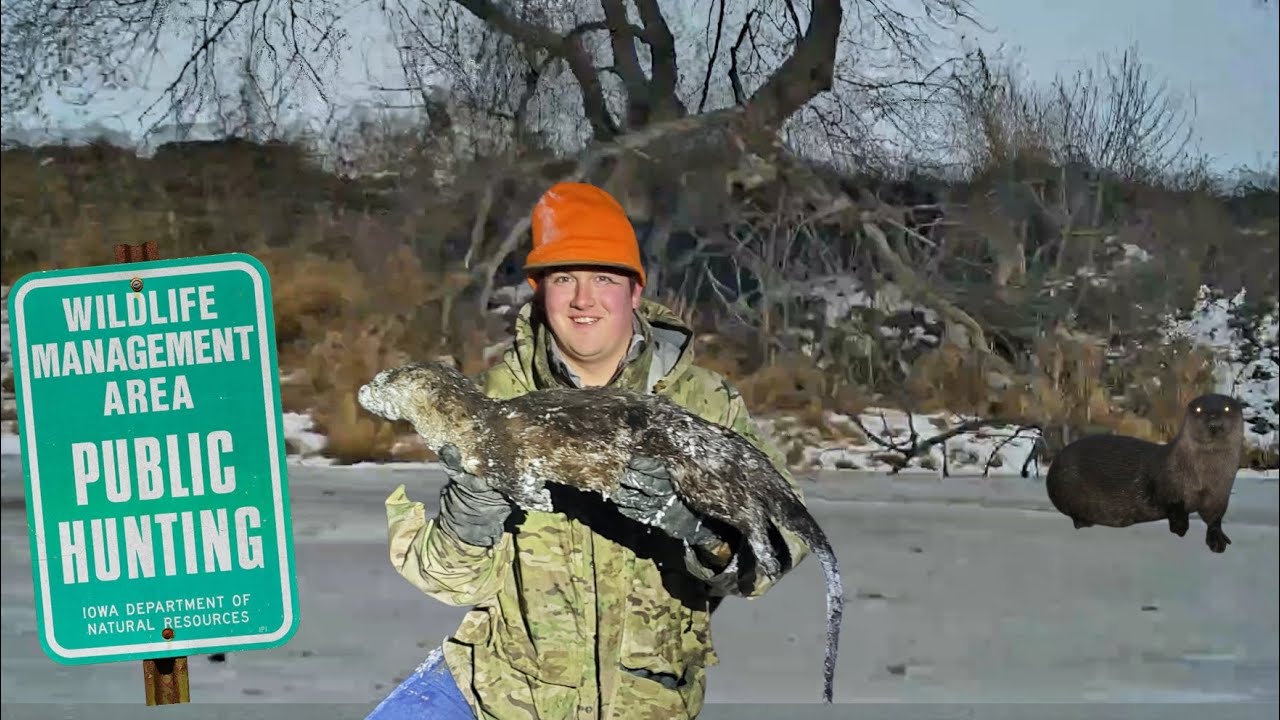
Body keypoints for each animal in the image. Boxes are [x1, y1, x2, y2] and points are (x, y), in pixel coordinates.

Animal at [1045, 393, 1245, 553]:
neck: (1203, 479)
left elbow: (1215, 519)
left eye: (1227, 408)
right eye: (1199, 409)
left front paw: (1218, 538)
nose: (1213, 420)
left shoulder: (1220, 495)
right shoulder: (1169, 485)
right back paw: (1085, 521)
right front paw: (1180, 527)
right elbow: (1174, 506)